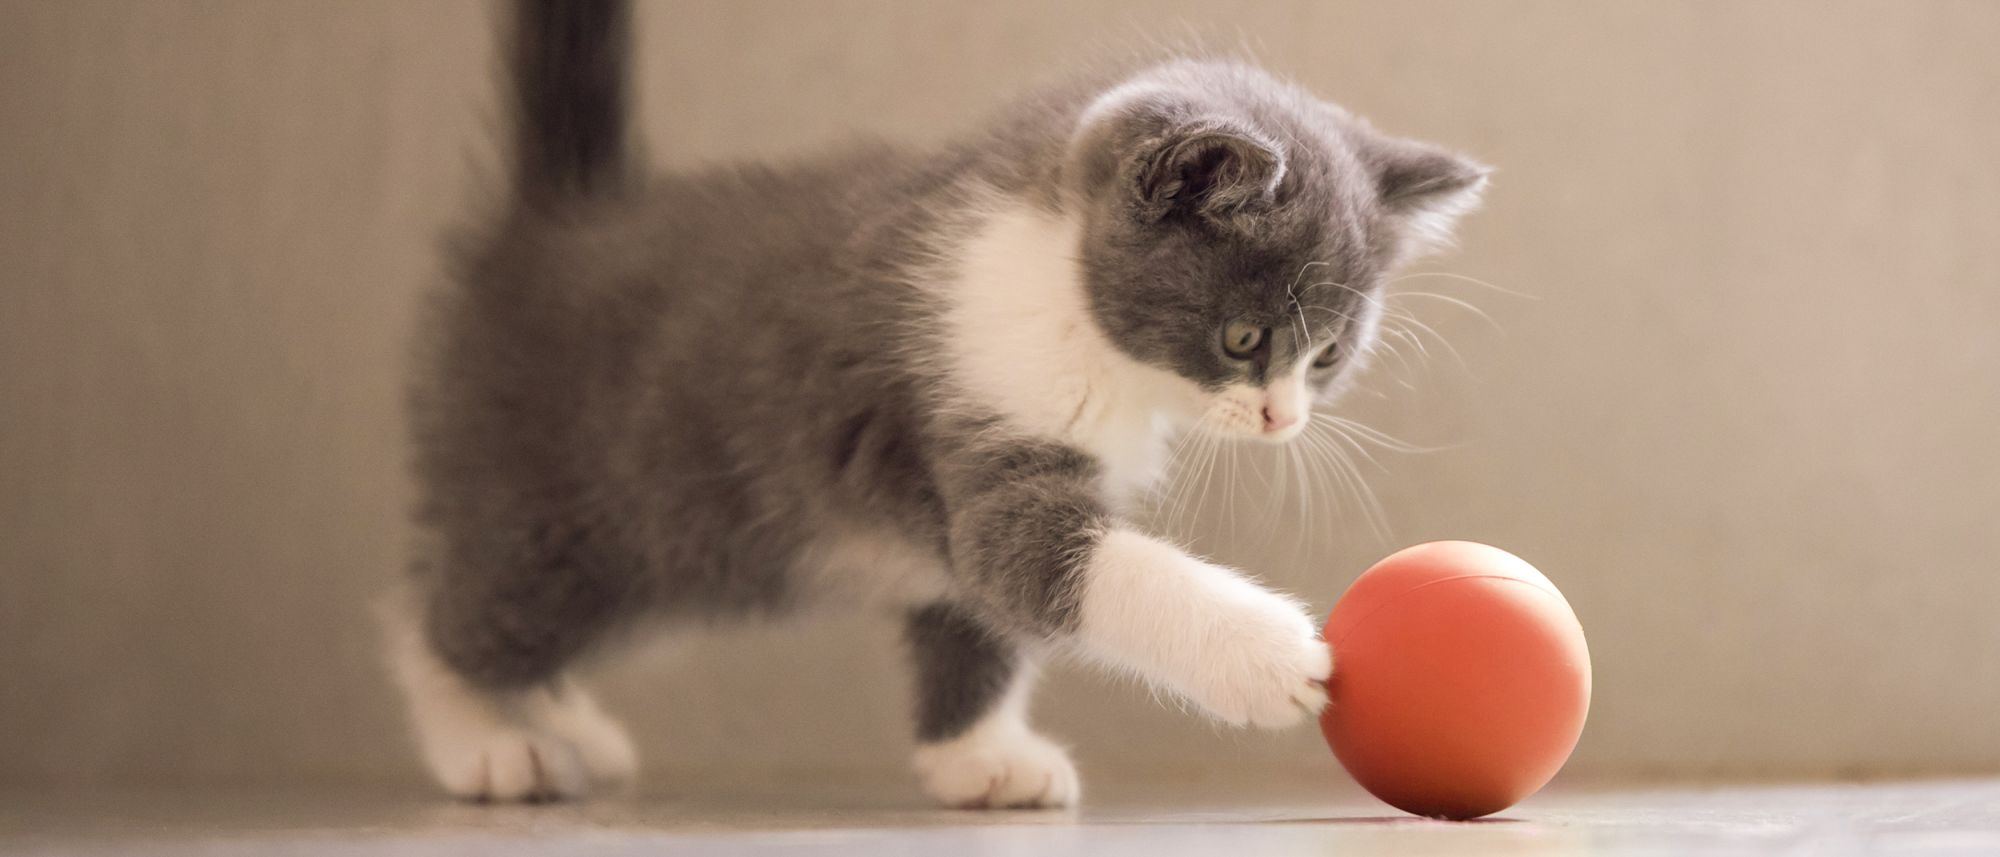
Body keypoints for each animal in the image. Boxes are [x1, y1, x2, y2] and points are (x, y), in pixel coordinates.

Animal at [386, 0, 1488, 804]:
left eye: (1328, 355)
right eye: (1245, 340)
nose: (1280, 419)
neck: (1064, 303)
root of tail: (556, 223)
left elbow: (976, 613)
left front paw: (979, 755)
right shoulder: (971, 412)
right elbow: (1059, 564)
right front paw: (1267, 653)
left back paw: (564, 722)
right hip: (595, 513)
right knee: (441, 609)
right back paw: (485, 742)